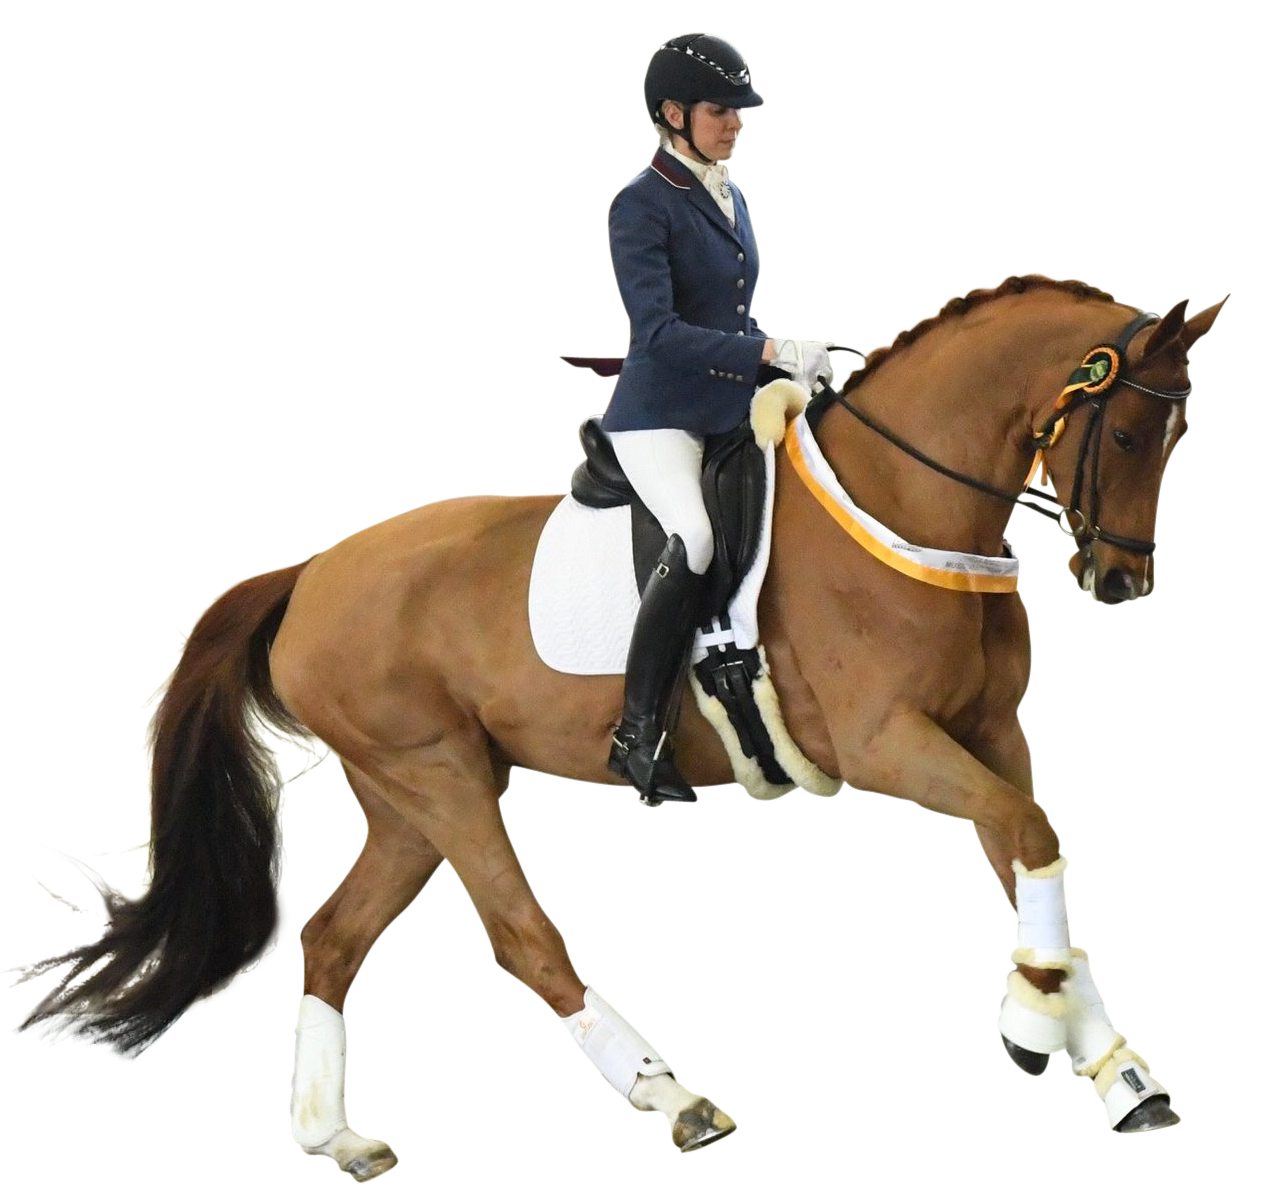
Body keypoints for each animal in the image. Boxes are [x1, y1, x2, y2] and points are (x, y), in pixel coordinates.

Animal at [6, 274, 1226, 1178]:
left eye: (1177, 438)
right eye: (1126, 433)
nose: (1119, 583)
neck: (902, 500)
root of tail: (309, 571)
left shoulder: (990, 737)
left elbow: (1031, 850)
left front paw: (1114, 1069)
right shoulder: (887, 743)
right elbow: (1028, 833)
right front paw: (1034, 1029)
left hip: (406, 798)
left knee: (338, 936)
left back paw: (336, 1138)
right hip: (440, 777)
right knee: (521, 938)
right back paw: (676, 1099)